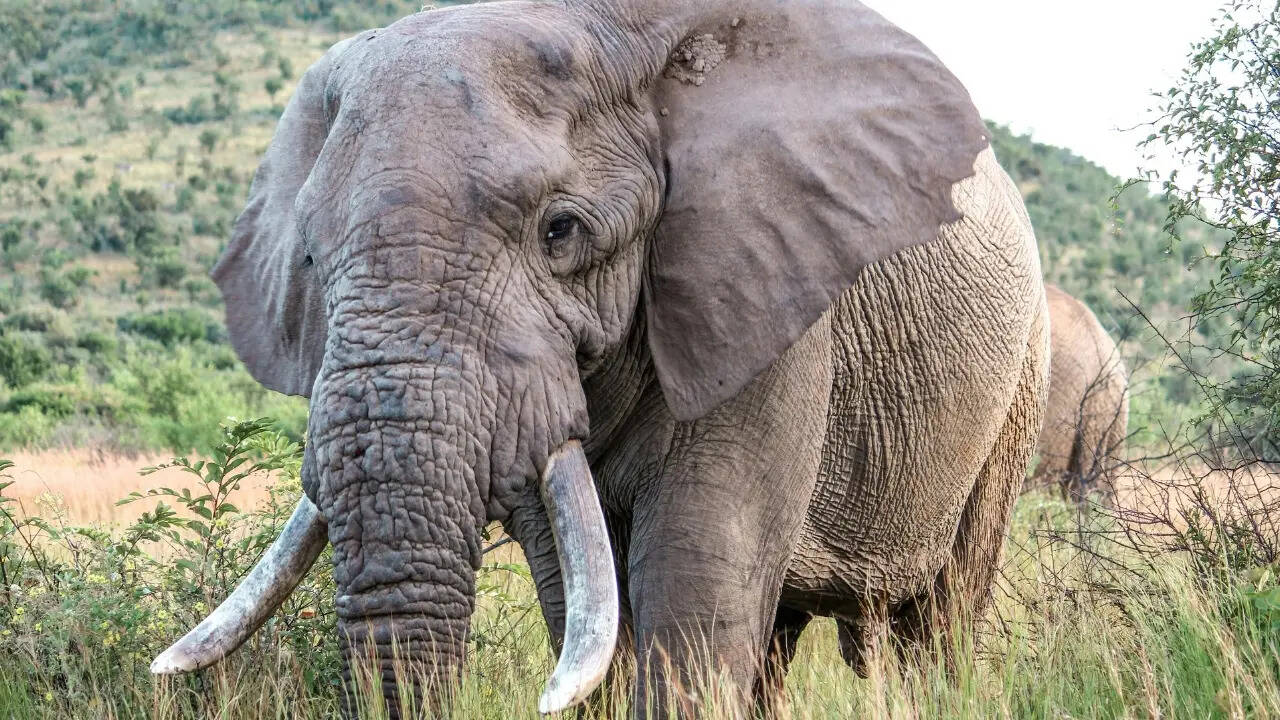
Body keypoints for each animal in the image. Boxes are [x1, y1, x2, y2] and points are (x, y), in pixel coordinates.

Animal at [150, 0, 1050, 717]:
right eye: (307, 258)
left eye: (561, 231)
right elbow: (578, 599)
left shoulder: (763, 293)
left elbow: (696, 582)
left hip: (1019, 385)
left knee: (941, 619)